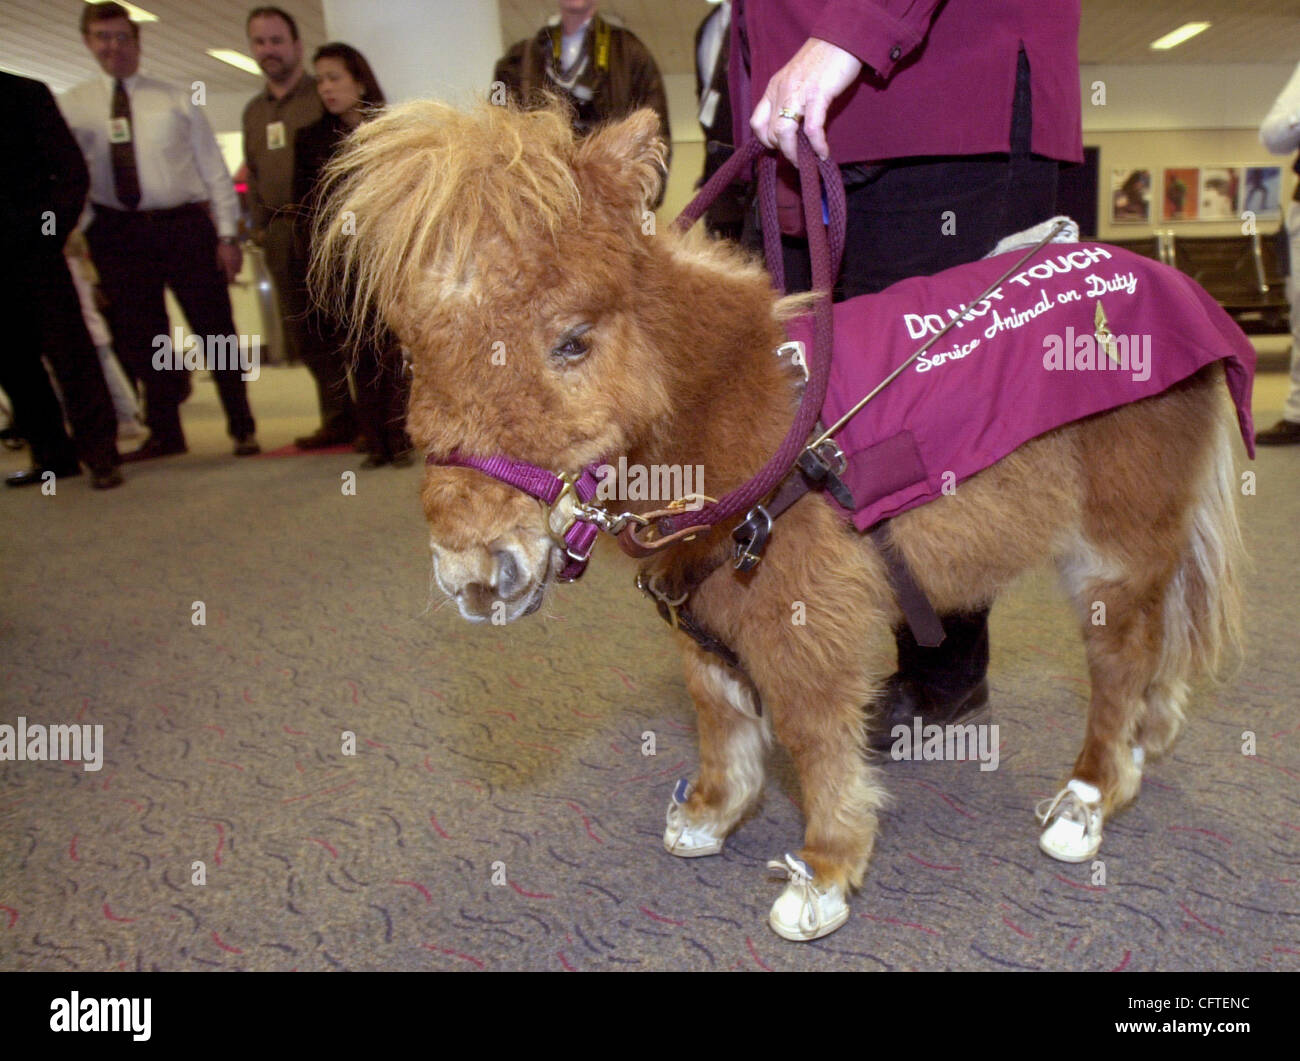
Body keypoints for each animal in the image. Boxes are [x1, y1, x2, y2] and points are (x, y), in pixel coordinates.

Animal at [310, 101, 1247, 942]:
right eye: (413, 351)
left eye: (572, 340)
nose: (473, 575)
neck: (741, 414)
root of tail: (1178, 290)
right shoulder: (703, 609)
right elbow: (719, 710)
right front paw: (711, 813)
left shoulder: (802, 621)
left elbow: (808, 729)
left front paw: (824, 871)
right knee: (1160, 640)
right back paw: (1146, 743)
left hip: (1114, 549)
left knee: (1121, 660)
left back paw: (1089, 798)